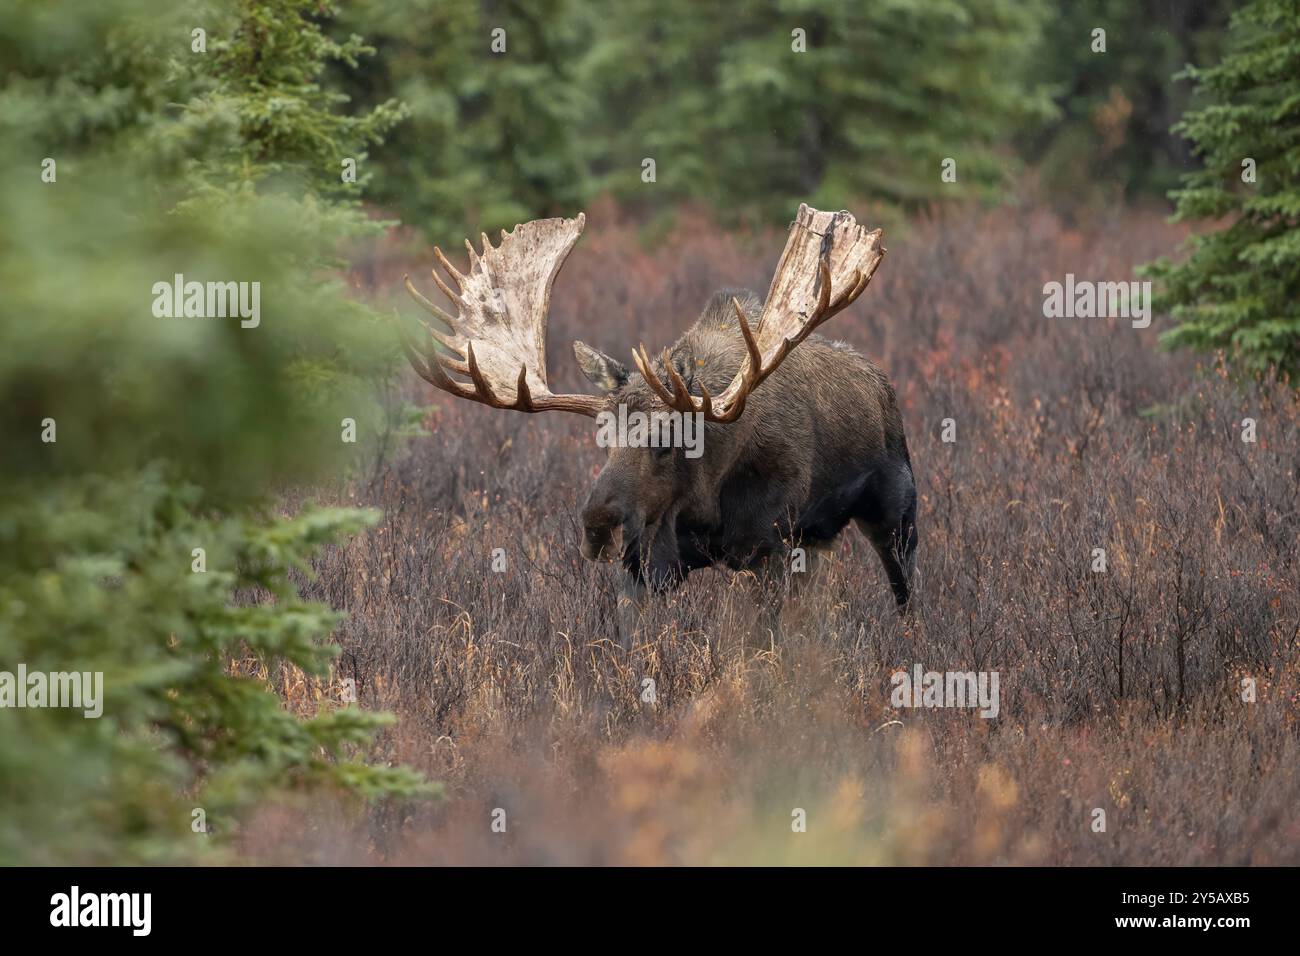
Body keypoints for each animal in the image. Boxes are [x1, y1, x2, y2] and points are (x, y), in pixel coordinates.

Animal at [399, 204, 917, 644]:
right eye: (602, 441)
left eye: (668, 443)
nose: (598, 527)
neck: (708, 493)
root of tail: (882, 383)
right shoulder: (649, 561)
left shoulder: (768, 548)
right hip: (815, 542)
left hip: (895, 511)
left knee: (907, 592)